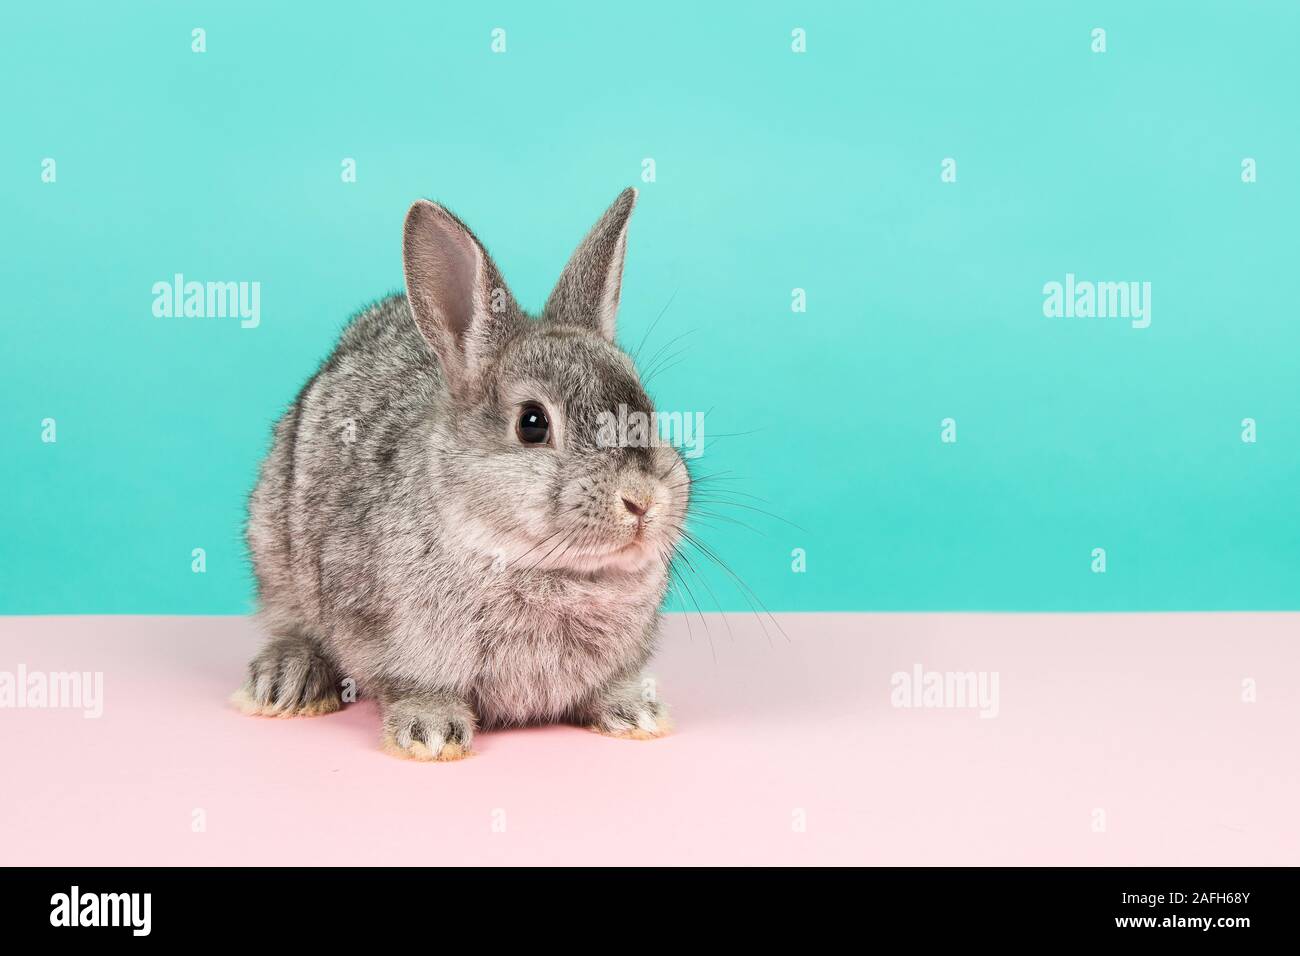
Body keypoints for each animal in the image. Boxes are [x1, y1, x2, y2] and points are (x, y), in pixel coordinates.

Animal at [233, 188, 688, 760]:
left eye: (646, 408)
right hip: (274, 546)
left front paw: (636, 713)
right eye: (532, 423)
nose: (642, 500)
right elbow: (413, 685)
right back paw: (286, 681)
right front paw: (430, 734)